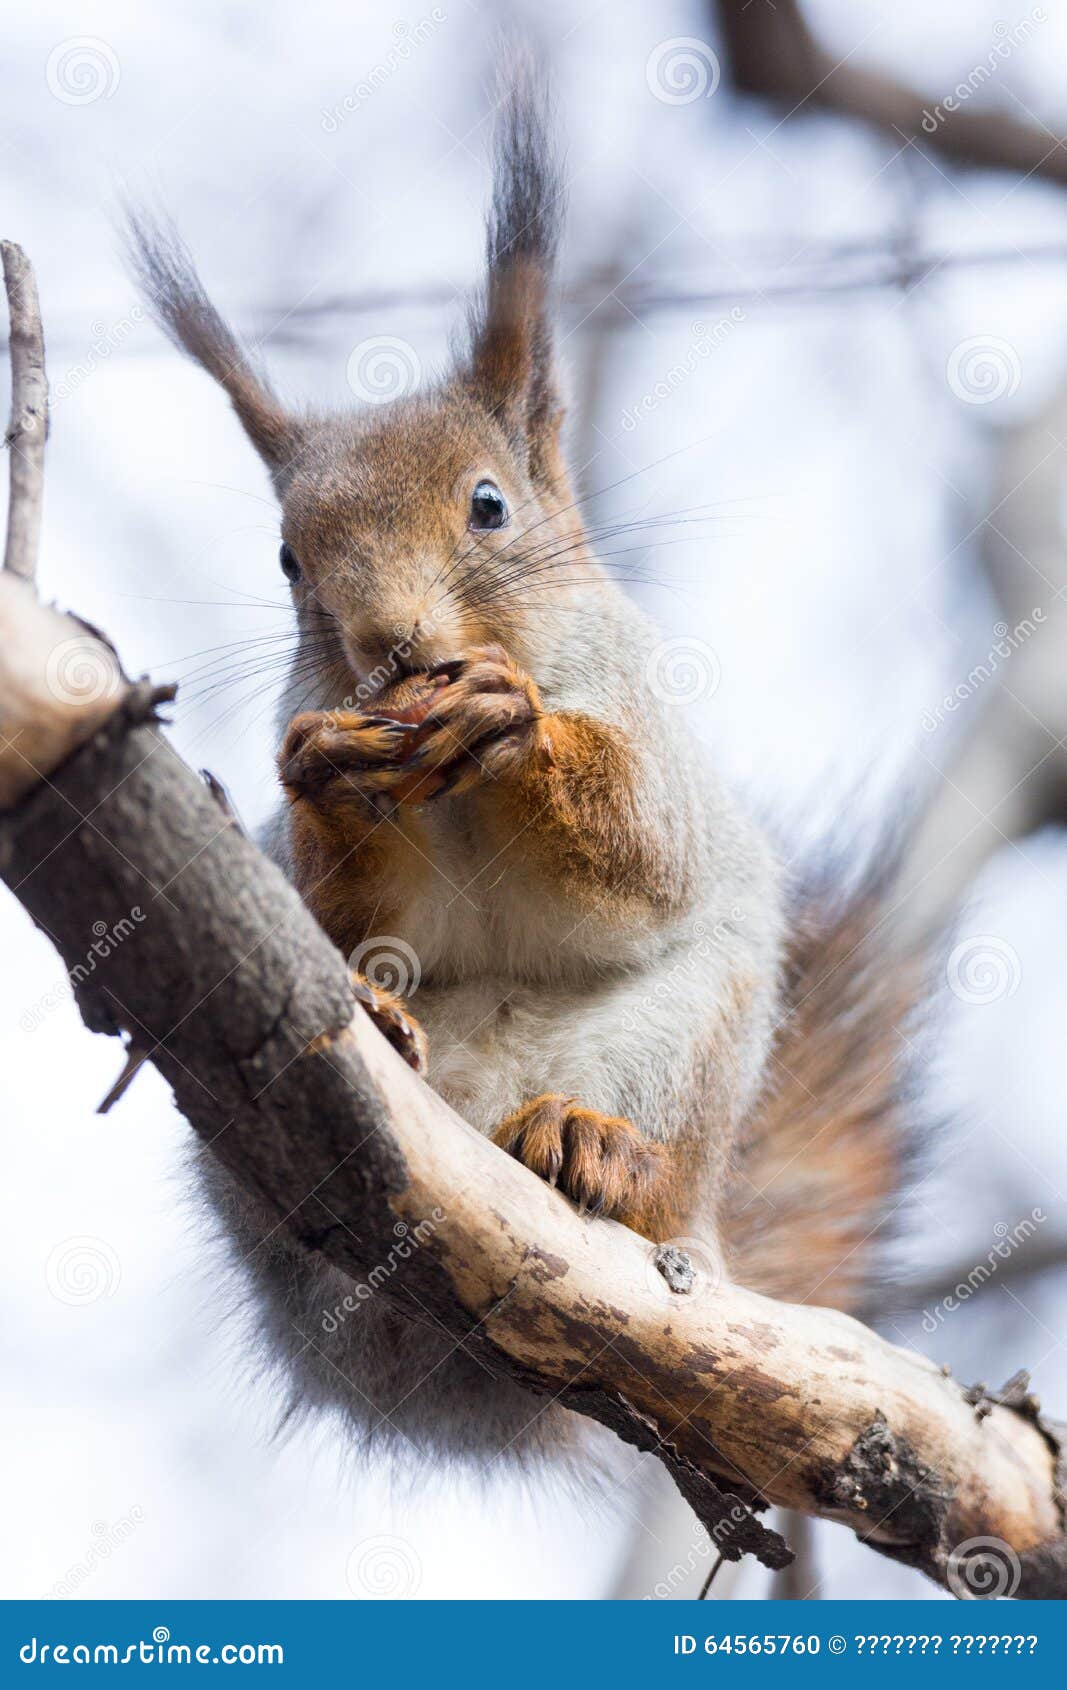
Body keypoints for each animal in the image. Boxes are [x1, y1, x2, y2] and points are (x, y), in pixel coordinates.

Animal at [129, 66, 924, 1461]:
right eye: (288, 558)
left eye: (489, 505)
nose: (389, 648)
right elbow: (343, 910)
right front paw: (320, 765)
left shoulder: (648, 734)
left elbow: (641, 853)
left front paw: (517, 724)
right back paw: (381, 1039)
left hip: (690, 1042)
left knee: (645, 1169)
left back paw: (598, 1151)